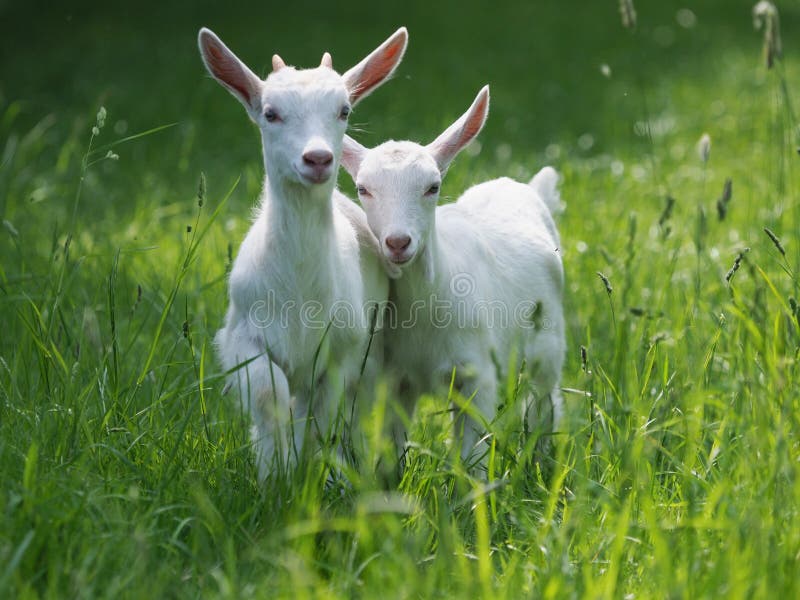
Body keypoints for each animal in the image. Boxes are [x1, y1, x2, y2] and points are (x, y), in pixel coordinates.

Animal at [197, 26, 408, 479]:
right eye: (270, 113)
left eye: (344, 110)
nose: (318, 158)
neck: (298, 292)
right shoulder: (242, 336)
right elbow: (269, 395)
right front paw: (273, 472)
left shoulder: (342, 350)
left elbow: (318, 415)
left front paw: (299, 471)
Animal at [340, 86, 565, 464]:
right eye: (362, 189)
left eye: (432, 187)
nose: (398, 242)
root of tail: (526, 188)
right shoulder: (395, 377)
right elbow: (392, 448)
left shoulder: (477, 375)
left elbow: (472, 459)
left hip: (548, 345)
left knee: (545, 404)